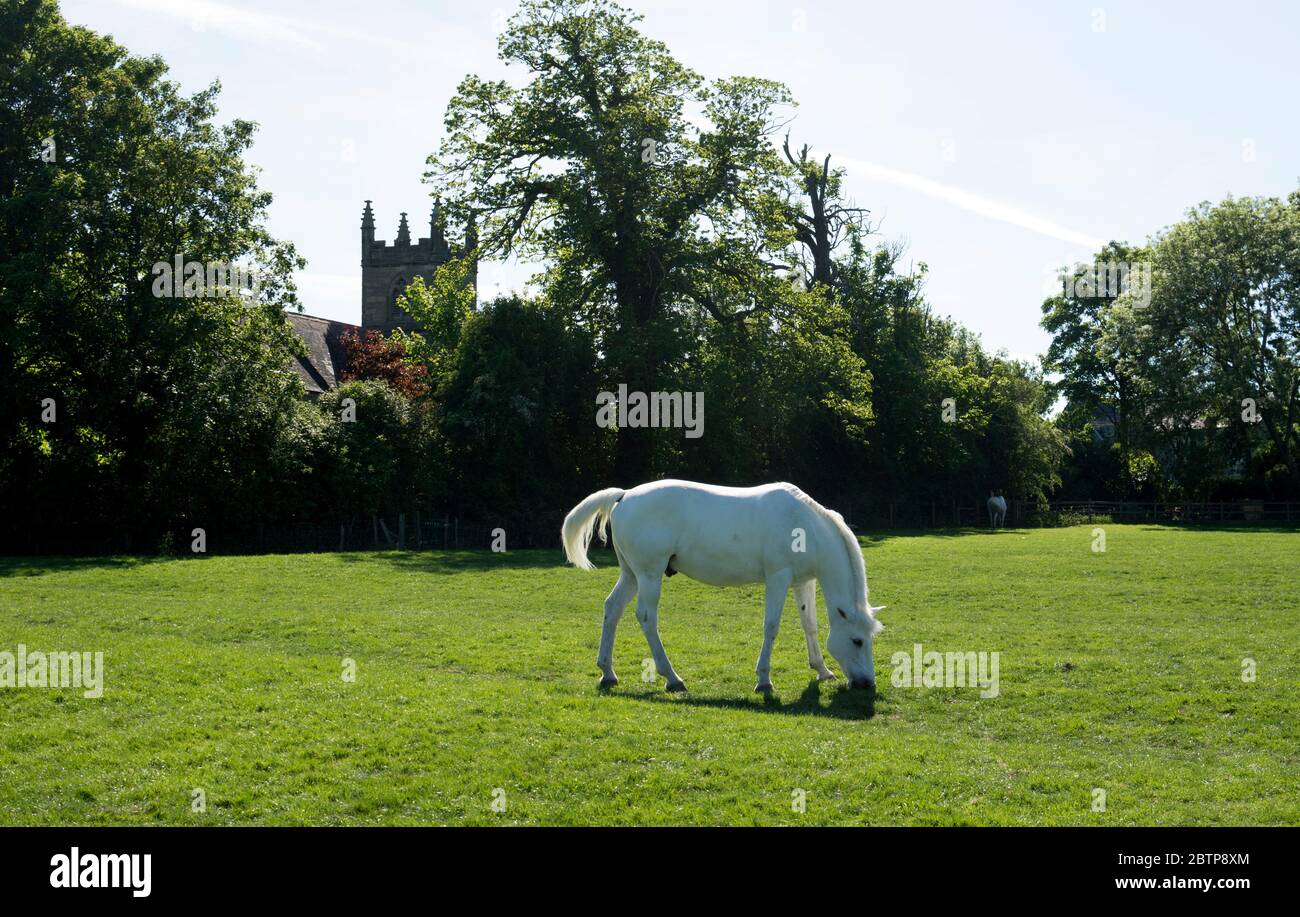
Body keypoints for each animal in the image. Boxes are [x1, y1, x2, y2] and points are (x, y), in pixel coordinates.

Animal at [561, 480, 884, 694]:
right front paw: (763, 680)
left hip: (631, 574)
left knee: (612, 609)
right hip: (649, 575)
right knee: (646, 618)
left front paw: (822, 670)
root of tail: (624, 496)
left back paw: (607, 672)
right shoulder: (778, 577)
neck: (804, 526)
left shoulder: (802, 581)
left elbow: (810, 625)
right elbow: (771, 627)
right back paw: (672, 677)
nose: (867, 683)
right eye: (857, 641)